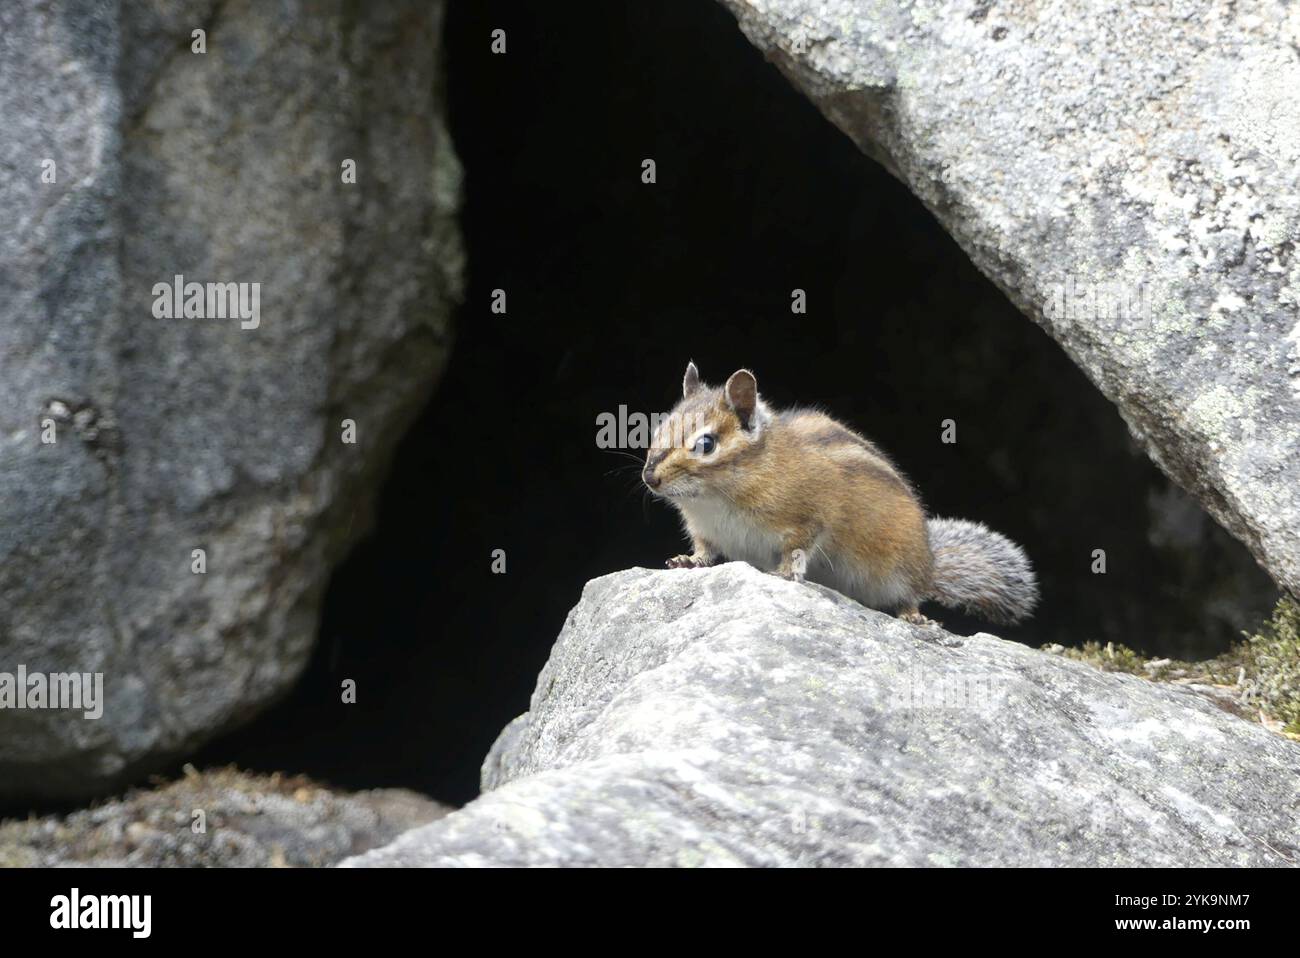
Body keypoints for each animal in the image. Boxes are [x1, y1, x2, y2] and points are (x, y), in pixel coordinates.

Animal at [641, 362, 1038, 627]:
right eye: (660, 429)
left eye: (705, 444)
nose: (649, 477)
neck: (714, 499)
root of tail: (931, 563)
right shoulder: (705, 531)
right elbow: (706, 551)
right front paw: (688, 560)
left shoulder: (810, 517)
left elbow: (798, 547)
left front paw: (783, 572)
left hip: (901, 569)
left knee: (911, 594)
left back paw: (913, 615)